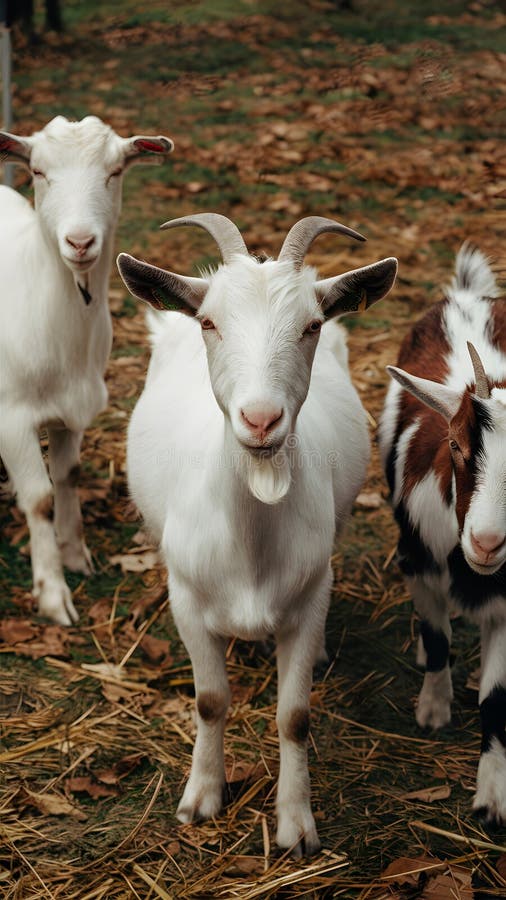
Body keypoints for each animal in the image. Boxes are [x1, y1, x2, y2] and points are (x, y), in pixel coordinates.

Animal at [0, 115, 173, 626]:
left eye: (115, 172)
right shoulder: (11, 416)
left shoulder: (71, 410)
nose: (80, 242)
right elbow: (38, 498)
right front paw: (52, 593)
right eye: (38, 172)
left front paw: (76, 555)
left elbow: (68, 475)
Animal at [117, 213, 398, 855]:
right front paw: (200, 798)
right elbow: (210, 702)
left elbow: (295, 716)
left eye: (312, 326)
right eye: (210, 322)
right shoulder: (187, 600)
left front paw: (296, 825)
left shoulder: (310, 595)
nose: (261, 420)